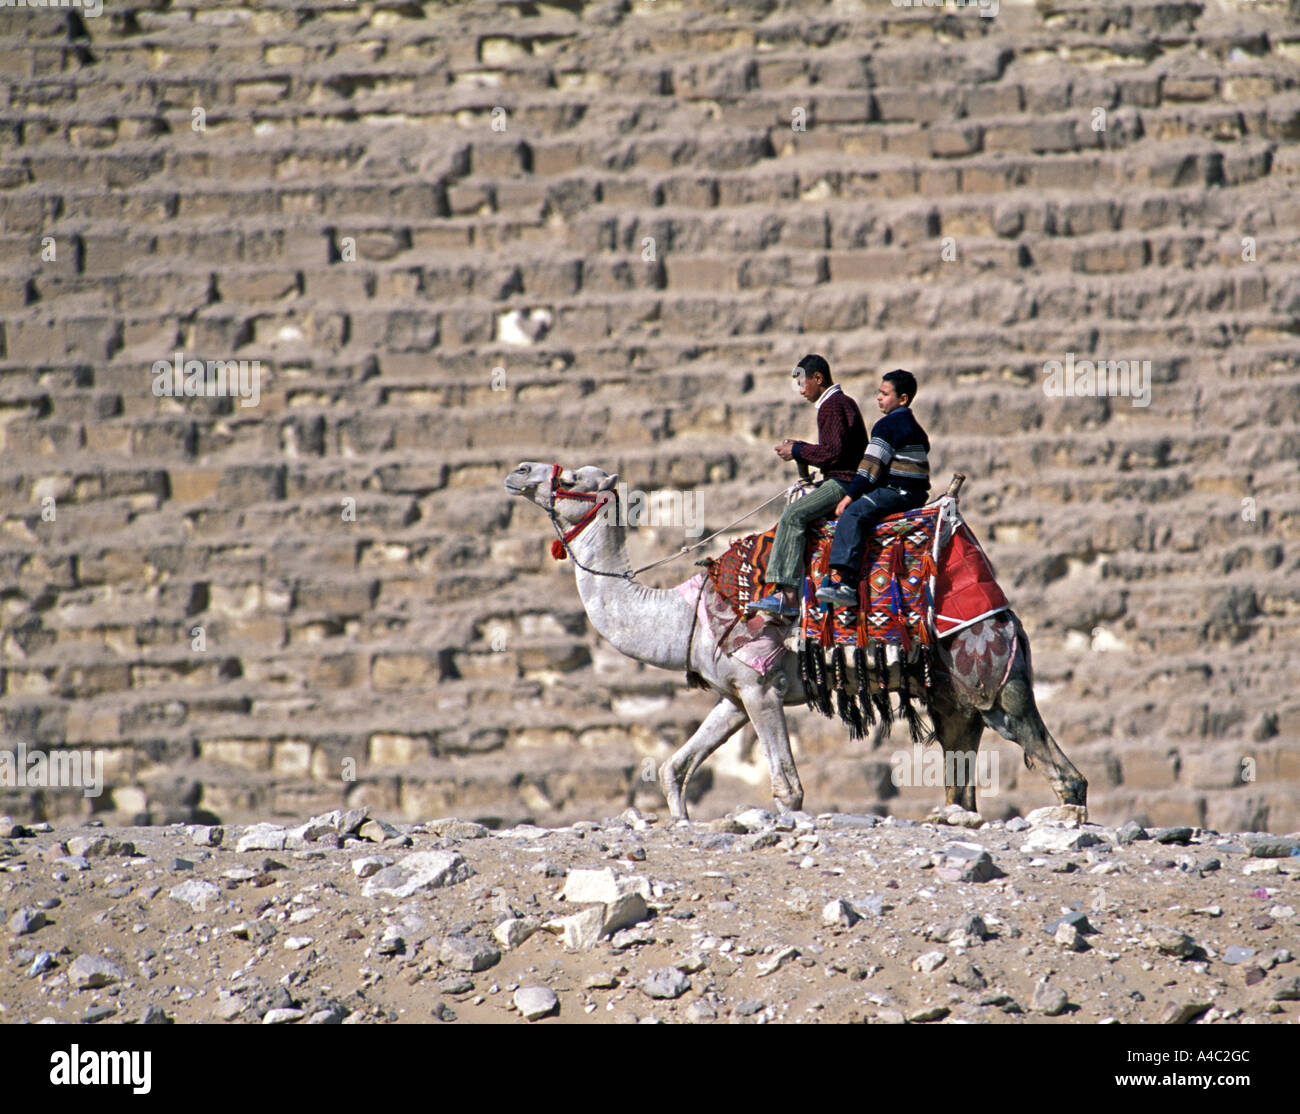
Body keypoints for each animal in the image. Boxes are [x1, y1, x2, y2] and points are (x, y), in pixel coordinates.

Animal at [504, 462, 1088, 822]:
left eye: (573, 477)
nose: (520, 471)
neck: (684, 612)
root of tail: (1007, 618)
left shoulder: (761, 687)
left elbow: (789, 788)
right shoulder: (734, 693)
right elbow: (676, 767)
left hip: (992, 677)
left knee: (1059, 768)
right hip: (955, 702)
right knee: (962, 780)